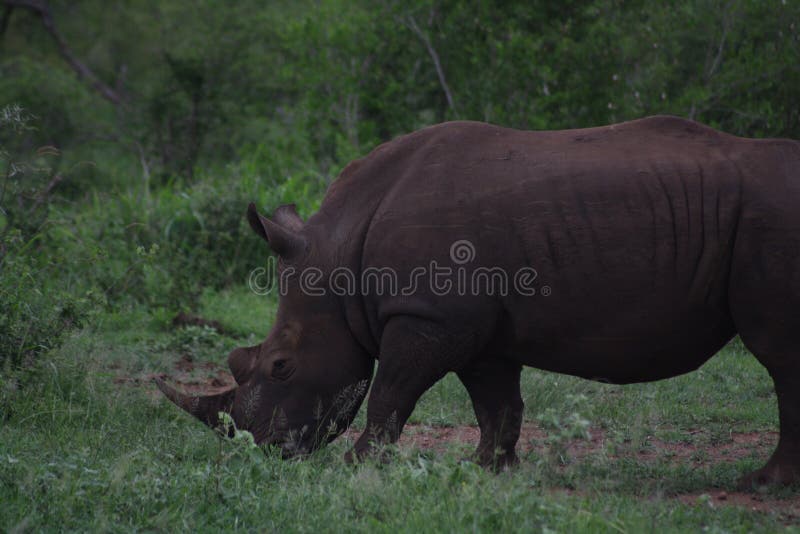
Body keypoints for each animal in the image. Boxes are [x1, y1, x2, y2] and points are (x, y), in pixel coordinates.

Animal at [157, 116, 800, 488]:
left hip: (771, 217)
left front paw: (359, 467)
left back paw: (764, 485)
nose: (262, 451)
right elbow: (496, 403)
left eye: (280, 367)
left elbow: (390, 393)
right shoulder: (473, 326)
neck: (340, 260)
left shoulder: (428, 315)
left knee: (779, 356)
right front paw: (489, 470)